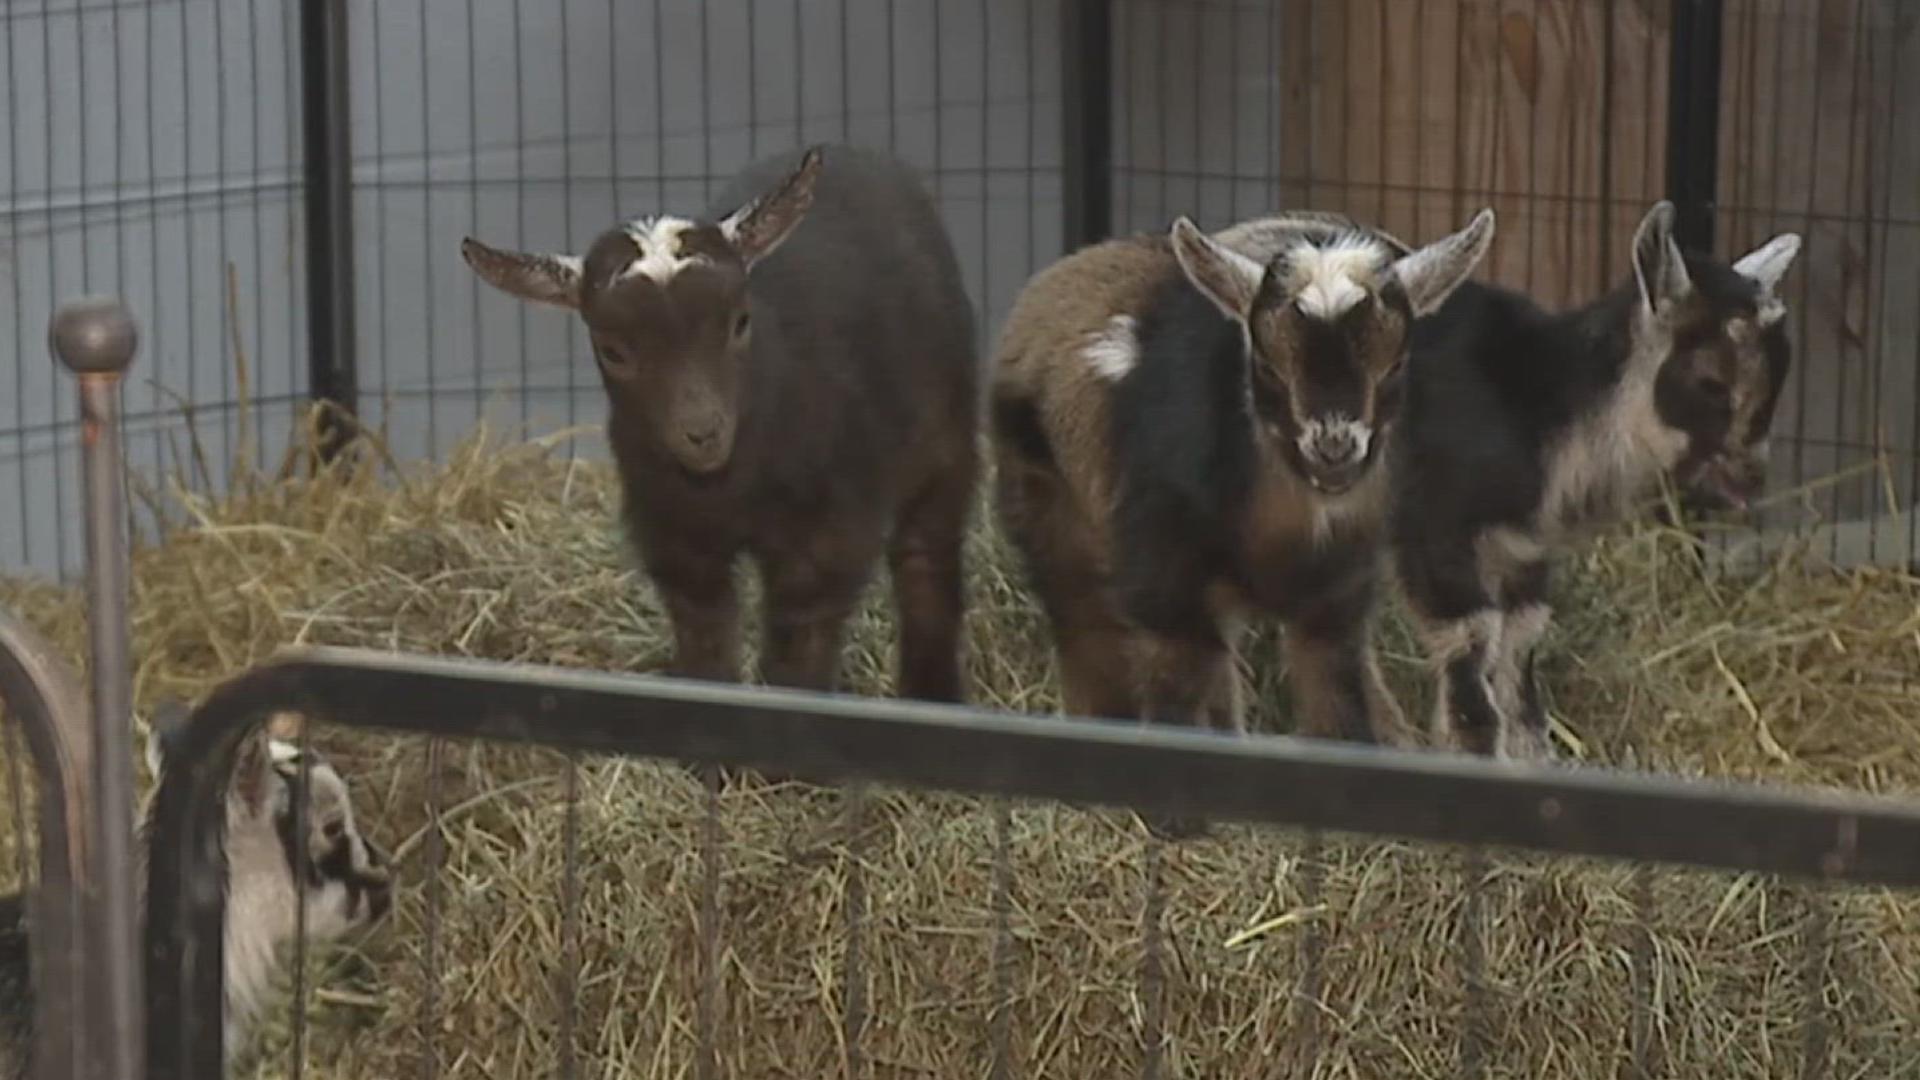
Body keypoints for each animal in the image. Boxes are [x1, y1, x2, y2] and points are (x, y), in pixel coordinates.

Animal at [463, 144, 980, 704]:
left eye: (740, 322)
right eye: (613, 350)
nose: (702, 432)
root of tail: (857, 153)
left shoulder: (828, 534)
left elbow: (798, 654)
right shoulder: (675, 538)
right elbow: (706, 646)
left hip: (945, 435)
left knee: (926, 561)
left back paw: (933, 692)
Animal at [990, 207, 1496, 791]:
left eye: (1392, 367)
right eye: (1270, 368)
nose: (1334, 447)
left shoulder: (1337, 594)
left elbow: (1338, 702)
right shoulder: (1162, 581)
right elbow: (1174, 693)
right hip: (1051, 517)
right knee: (1086, 633)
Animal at [1389, 201, 1802, 760]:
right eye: (1711, 383)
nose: (1750, 479)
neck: (1542, 409)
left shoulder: (1521, 555)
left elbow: (1520, 655)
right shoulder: (1435, 532)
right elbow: (1470, 660)